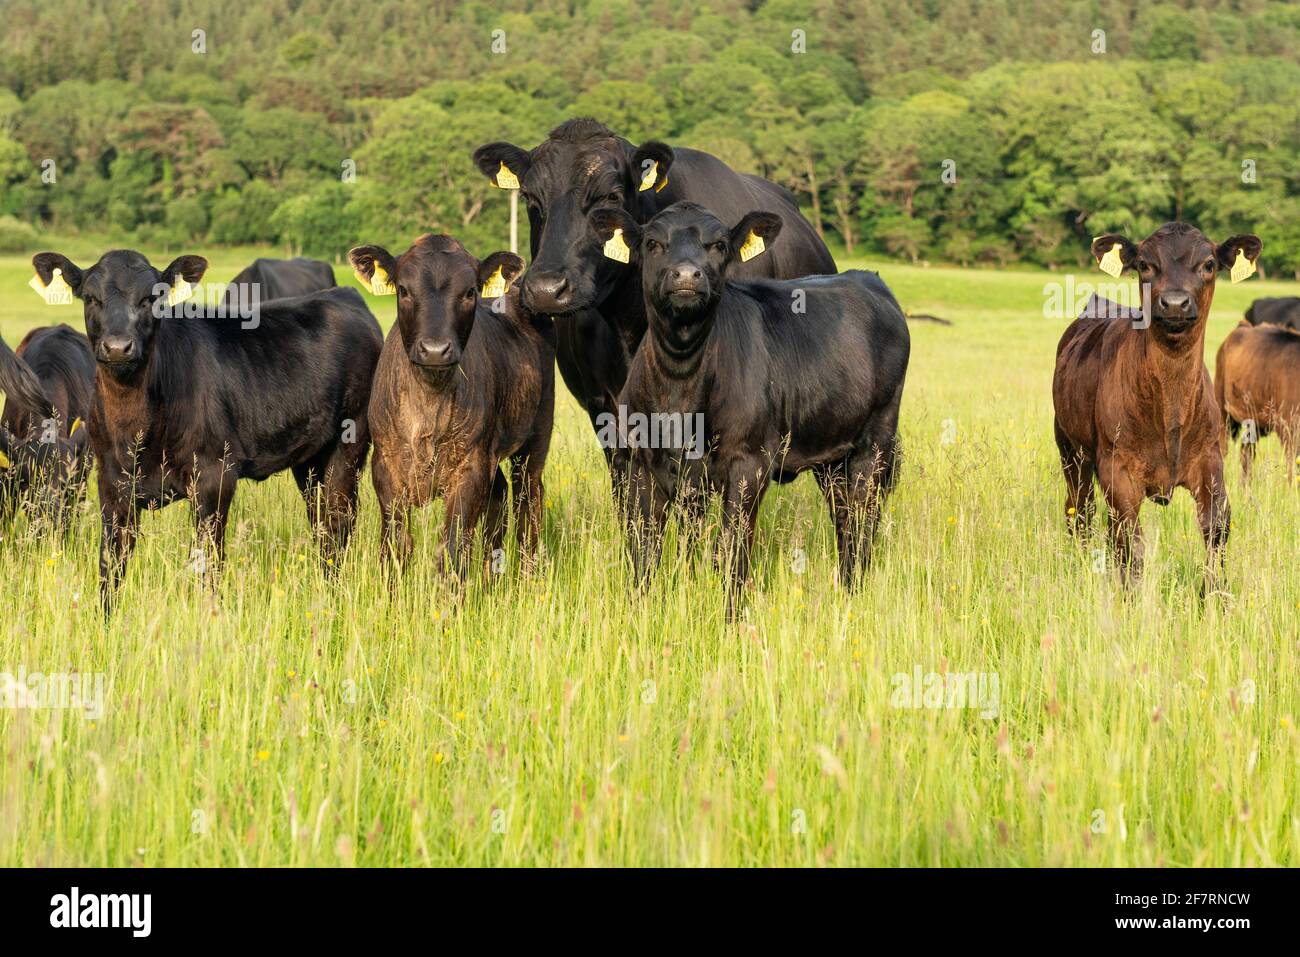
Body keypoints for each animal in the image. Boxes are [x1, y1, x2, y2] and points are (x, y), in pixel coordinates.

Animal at [30, 249, 383, 613]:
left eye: (152, 298)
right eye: (90, 297)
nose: (117, 347)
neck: (134, 426)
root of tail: (343, 295)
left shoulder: (215, 475)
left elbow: (207, 563)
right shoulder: (111, 482)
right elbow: (111, 563)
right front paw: (106, 620)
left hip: (349, 443)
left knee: (339, 522)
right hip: (310, 459)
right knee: (320, 522)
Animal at [348, 235, 555, 578]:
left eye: (470, 291)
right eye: (403, 289)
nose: (435, 349)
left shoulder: (470, 467)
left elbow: (454, 547)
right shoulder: (386, 466)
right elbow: (395, 544)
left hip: (536, 436)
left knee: (528, 502)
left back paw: (528, 576)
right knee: (499, 498)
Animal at [589, 202, 909, 618]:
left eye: (719, 245)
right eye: (653, 243)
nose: (687, 274)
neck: (681, 385)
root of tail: (868, 279)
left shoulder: (748, 463)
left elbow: (731, 549)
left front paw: (731, 621)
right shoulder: (641, 463)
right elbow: (644, 547)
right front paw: (639, 614)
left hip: (876, 440)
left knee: (862, 516)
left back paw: (854, 592)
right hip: (832, 455)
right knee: (843, 515)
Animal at [1052, 222, 1262, 589]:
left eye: (1208, 264)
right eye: (1145, 265)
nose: (1175, 303)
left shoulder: (1210, 458)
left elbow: (1216, 526)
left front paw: (1214, 595)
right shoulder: (1118, 468)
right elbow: (1130, 540)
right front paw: (1130, 595)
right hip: (1070, 449)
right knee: (1080, 510)